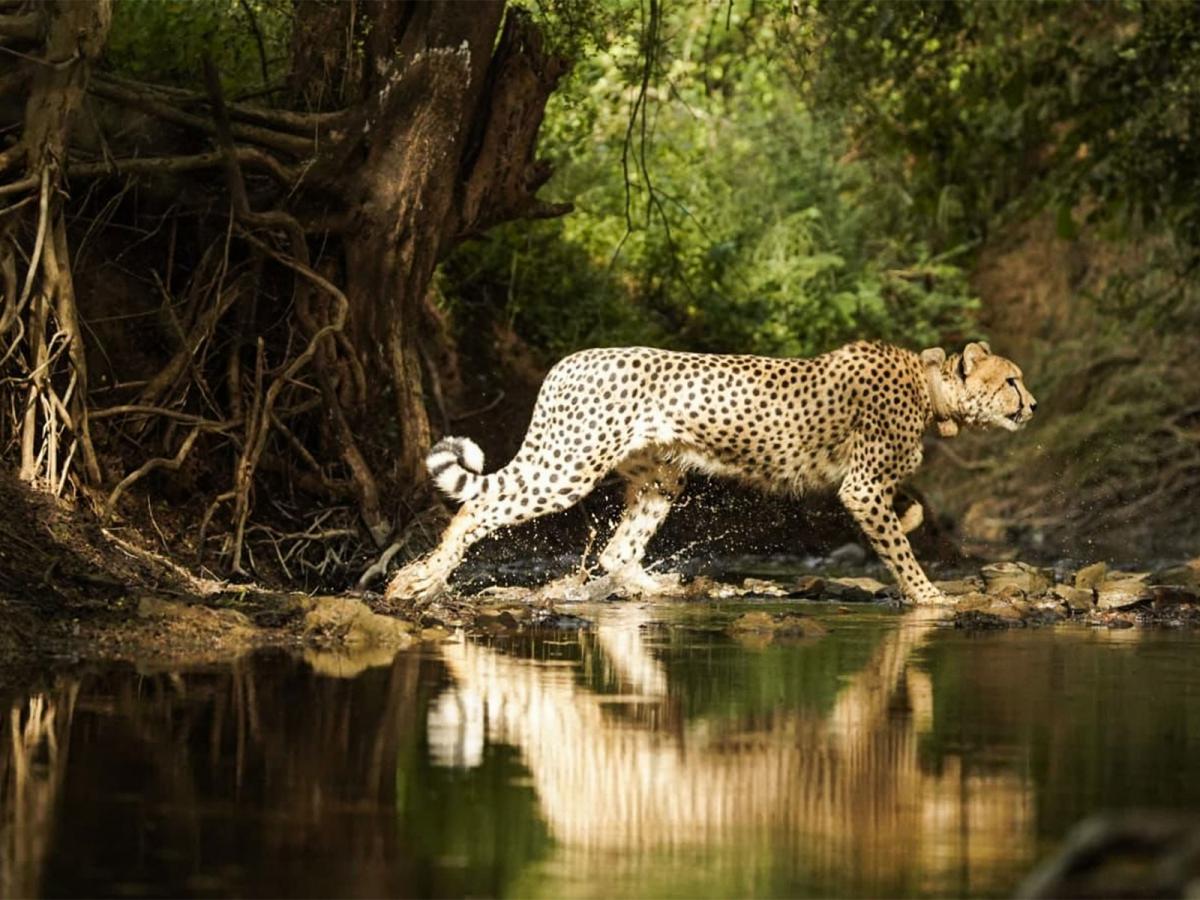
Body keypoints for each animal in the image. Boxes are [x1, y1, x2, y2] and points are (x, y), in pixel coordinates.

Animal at [385, 340, 1036, 605]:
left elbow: (908, 518)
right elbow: (899, 549)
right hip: (570, 464)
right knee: (476, 507)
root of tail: (569, 361)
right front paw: (929, 596)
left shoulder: (868, 487)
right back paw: (419, 581)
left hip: (659, 477)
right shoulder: (861, 486)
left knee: (618, 552)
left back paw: (667, 589)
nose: (1032, 405)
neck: (933, 392)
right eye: (1011, 379)